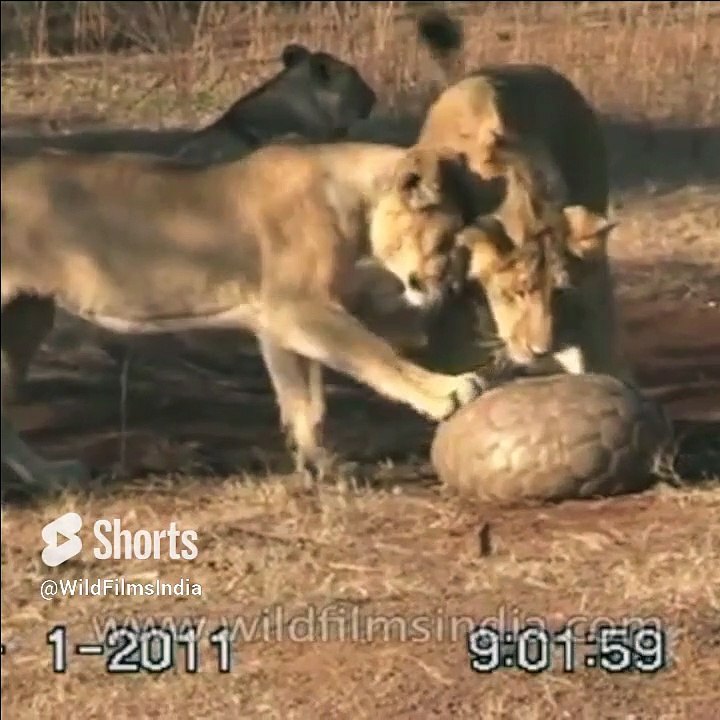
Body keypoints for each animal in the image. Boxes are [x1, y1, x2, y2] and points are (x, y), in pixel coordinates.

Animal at [1, 141, 493, 490]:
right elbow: (375, 353)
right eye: (446, 240)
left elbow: (306, 401)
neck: (353, 201)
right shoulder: (297, 307)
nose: (452, 290)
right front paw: (446, 390)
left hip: (25, 322)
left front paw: (322, 467)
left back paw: (50, 476)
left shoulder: (275, 324)